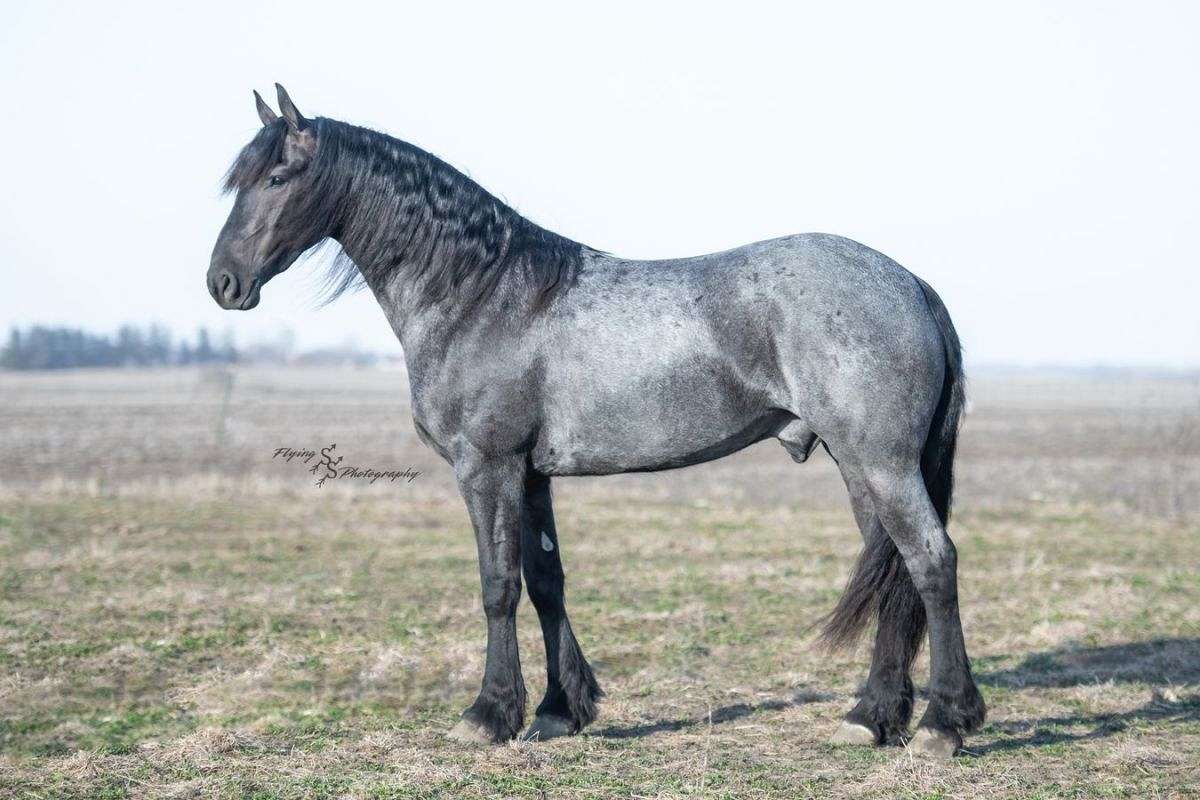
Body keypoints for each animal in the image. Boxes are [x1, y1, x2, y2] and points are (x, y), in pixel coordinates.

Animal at [207, 85, 986, 757]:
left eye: (278, 177)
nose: (223, 282)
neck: (485, 294)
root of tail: (909, 283)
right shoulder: (531, 475)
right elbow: (546, 581)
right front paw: (559, 710)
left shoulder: (486, 468)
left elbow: (498, 586)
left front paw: (489, 714)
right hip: (859, 467)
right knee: (893, 573)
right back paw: (872, 717)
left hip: (882, 463)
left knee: (931, 561)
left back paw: (944, 724)